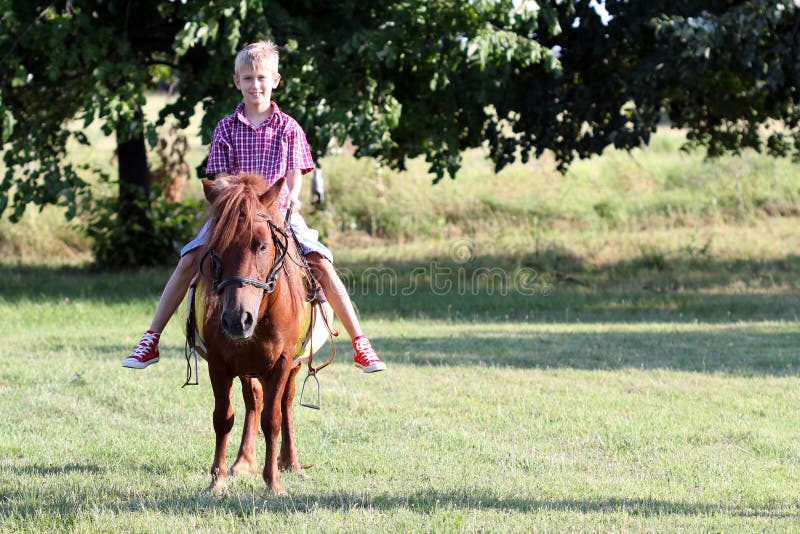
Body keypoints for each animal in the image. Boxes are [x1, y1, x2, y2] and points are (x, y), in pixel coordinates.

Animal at [198, 173, 308, 495]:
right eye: (216, 248)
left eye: (261, 245)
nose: (237, 320)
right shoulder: (219, 363)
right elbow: (223, 418)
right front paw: (218, 480)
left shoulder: (282, 362)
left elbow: (272, 420)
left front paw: (273, 482)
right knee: (253, 400)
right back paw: (243, 462)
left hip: (293, 365)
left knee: (285, 404)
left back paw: (291, 462)